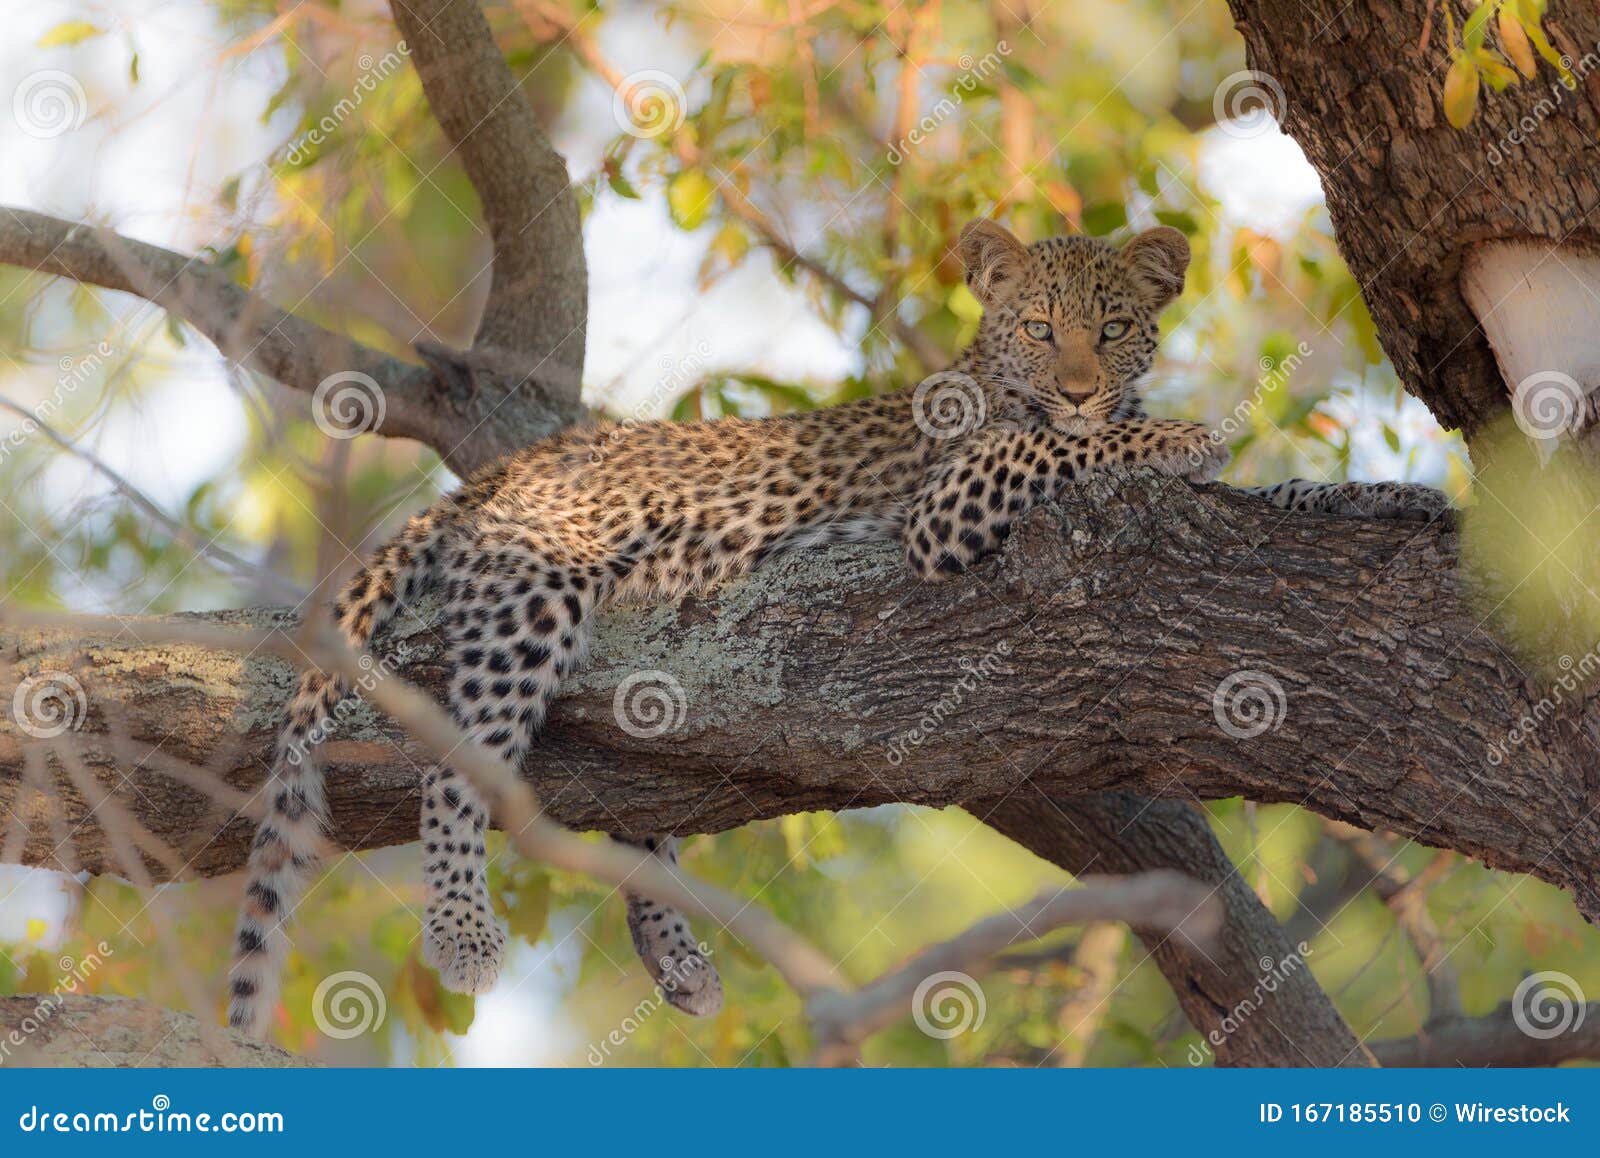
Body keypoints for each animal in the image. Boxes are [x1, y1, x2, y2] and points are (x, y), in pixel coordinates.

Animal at [226, 217, 1451, 1036]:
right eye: (1040, 327)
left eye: (1111, 328)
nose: (1077, 384)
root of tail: (514, 466)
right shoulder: (946, 507)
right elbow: (1054, 447)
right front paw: (1181, 434)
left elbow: (1268, 496)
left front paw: (1389, 496)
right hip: (540, 588)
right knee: (458, 764)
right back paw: (464, 932)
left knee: (628, 807)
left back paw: (676, 957)